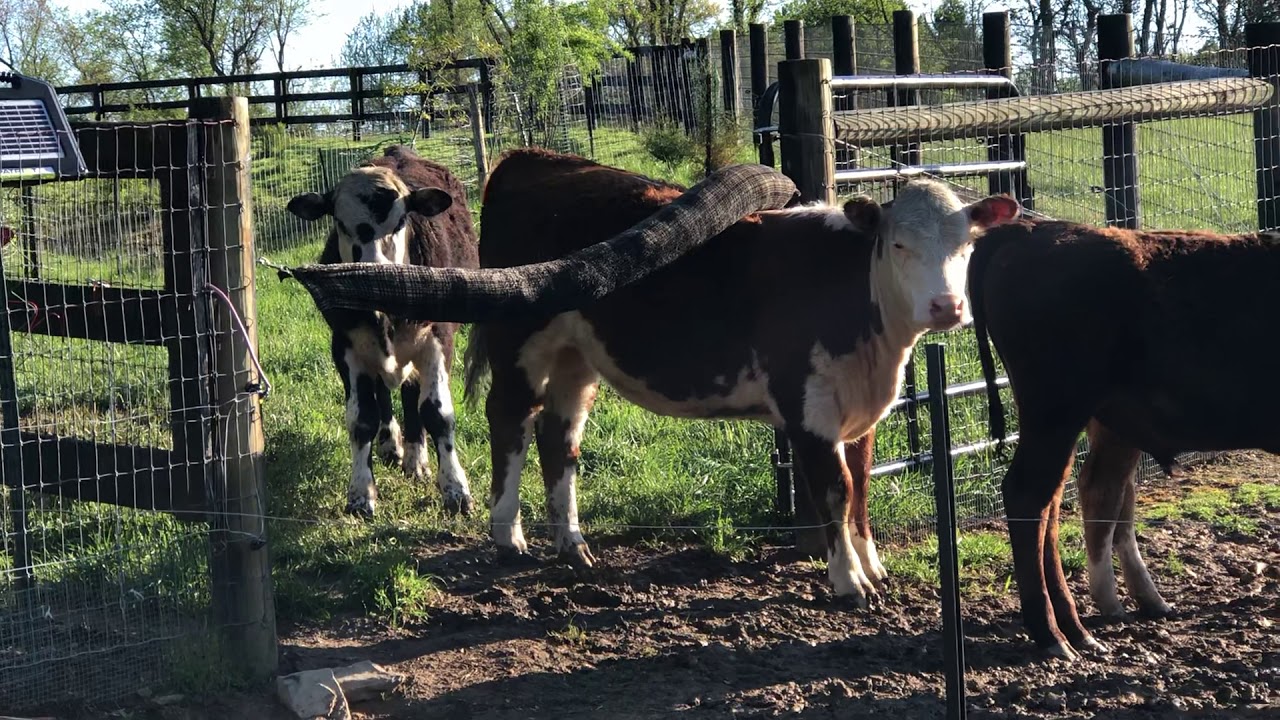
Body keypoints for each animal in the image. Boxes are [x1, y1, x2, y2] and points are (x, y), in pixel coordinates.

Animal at [286, 144, 479, 518]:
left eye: (401, 221)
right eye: (339, 222)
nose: (374, 273)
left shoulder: (438, 341)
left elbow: (437, 413)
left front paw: (455, 488)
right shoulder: (345, 347)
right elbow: (362, 418)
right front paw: (361, 493)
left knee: (411, 394)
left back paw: (416, 459)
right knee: (384, 392)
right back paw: (393, 445)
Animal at [462, 148, 1022, 605]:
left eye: (966, 244)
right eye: (900, 245)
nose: (947, 306)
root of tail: (532, 158)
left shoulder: (861, 409)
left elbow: (862, 483)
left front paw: (873, 566)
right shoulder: (807, 407)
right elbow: (836, 490)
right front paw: (849, 581)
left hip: (576, 357)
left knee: (559, 437)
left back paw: (572, 543)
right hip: (520, 344)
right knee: (509, 419)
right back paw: (508, 535)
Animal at [969, 218, 1280, 660]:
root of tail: (1035, 228)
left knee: (1054, 503)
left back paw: (1076, 627)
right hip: (1056, 413)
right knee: (1029, 496)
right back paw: (1053, 634)